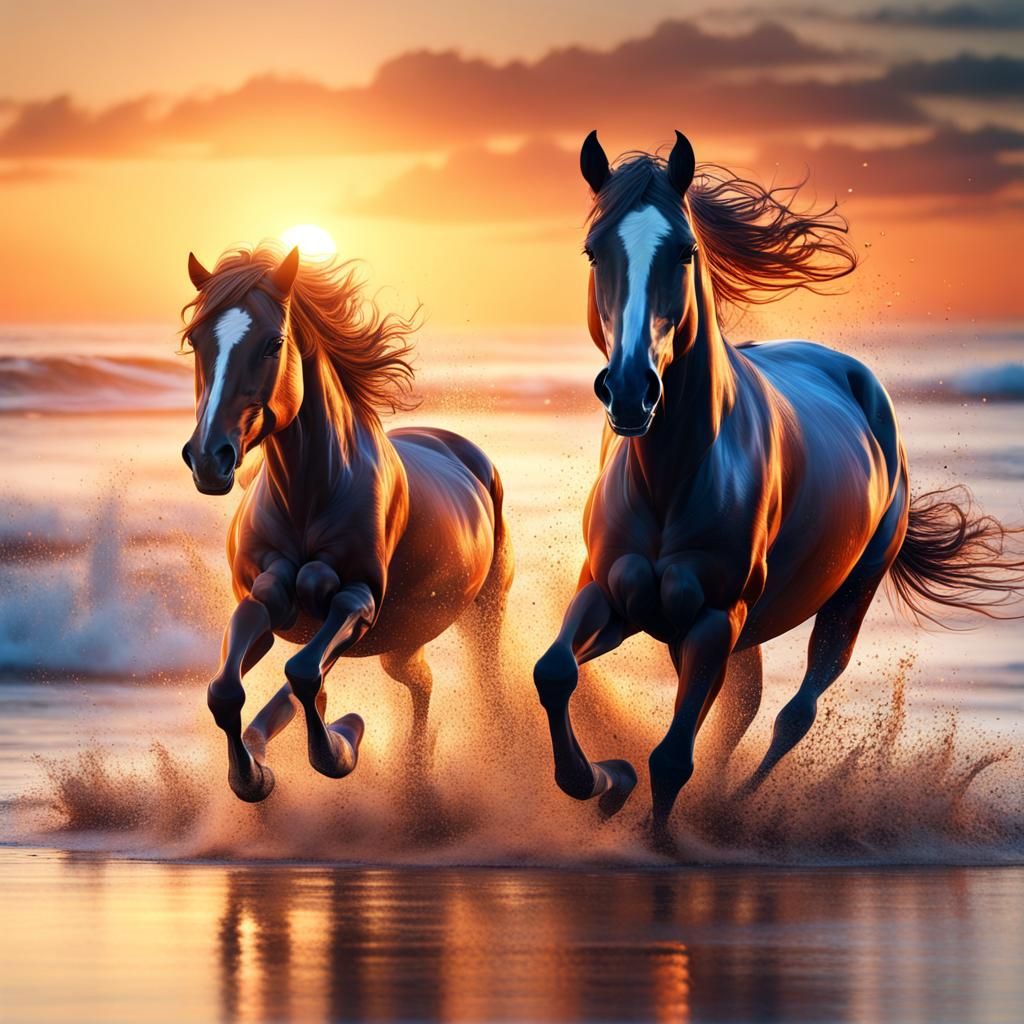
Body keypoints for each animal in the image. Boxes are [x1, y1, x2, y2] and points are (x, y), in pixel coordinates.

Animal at [181, 243, 513, 802]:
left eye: (274, 343)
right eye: (195, 340)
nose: (209, 459)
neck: (309, 493)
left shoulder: (361, 601)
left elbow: (303, 671)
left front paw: (339, 746)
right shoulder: (261, 598)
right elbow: (226, 689)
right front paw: (252, 775)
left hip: (481, 615)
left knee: (481, 687)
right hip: (402, 642)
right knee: (420, 679)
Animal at [534, 130, 1024, 851]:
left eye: (684, 250)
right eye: (596, 250)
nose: (629, 390)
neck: (672, 477)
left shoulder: (715, 618)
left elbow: (672, 757)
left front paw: (657, 836)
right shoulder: (609, 593)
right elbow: (556, 672)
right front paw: (602, 782)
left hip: (845, 598)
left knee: (795, 712)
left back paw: (734, 813)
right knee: (746, 710)